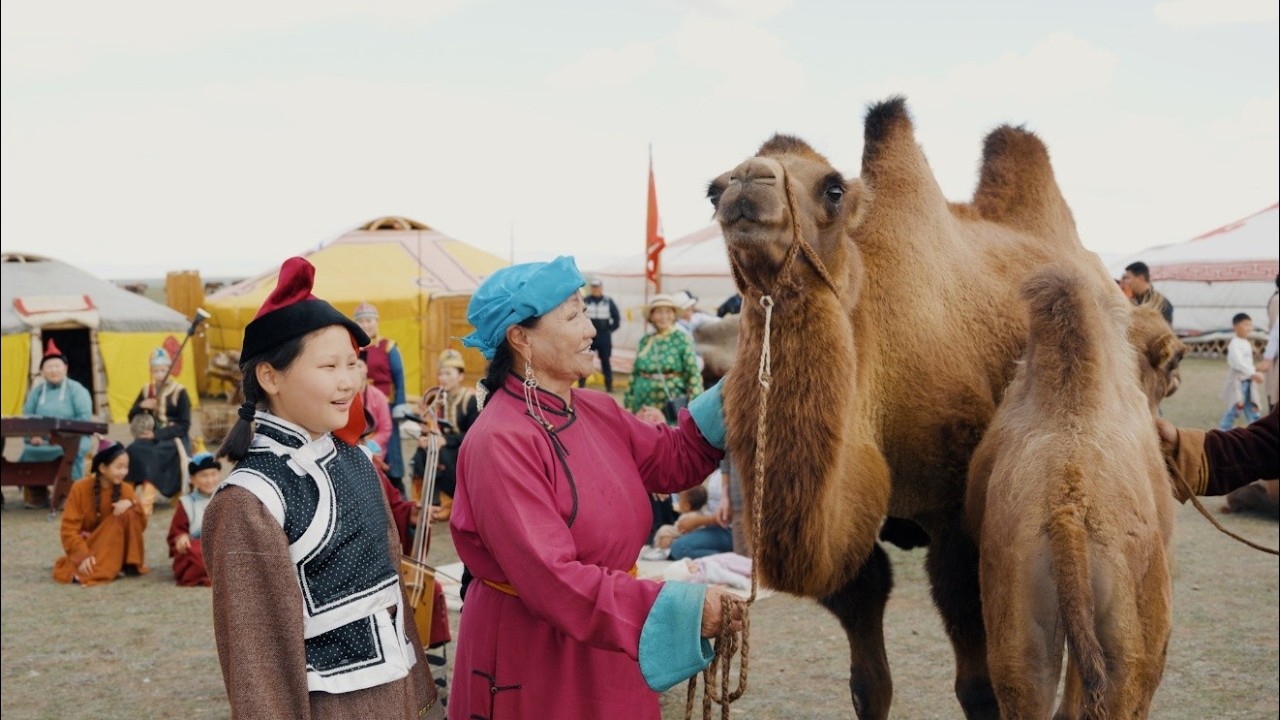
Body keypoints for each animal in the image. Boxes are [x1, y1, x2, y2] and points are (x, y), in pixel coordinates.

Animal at [708, 97, 1122, 719]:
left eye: (833, 188)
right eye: (710, 193)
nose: (742, 185)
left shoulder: (955, 515)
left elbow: (978, 683)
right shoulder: (854, 534)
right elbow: (867, 678)